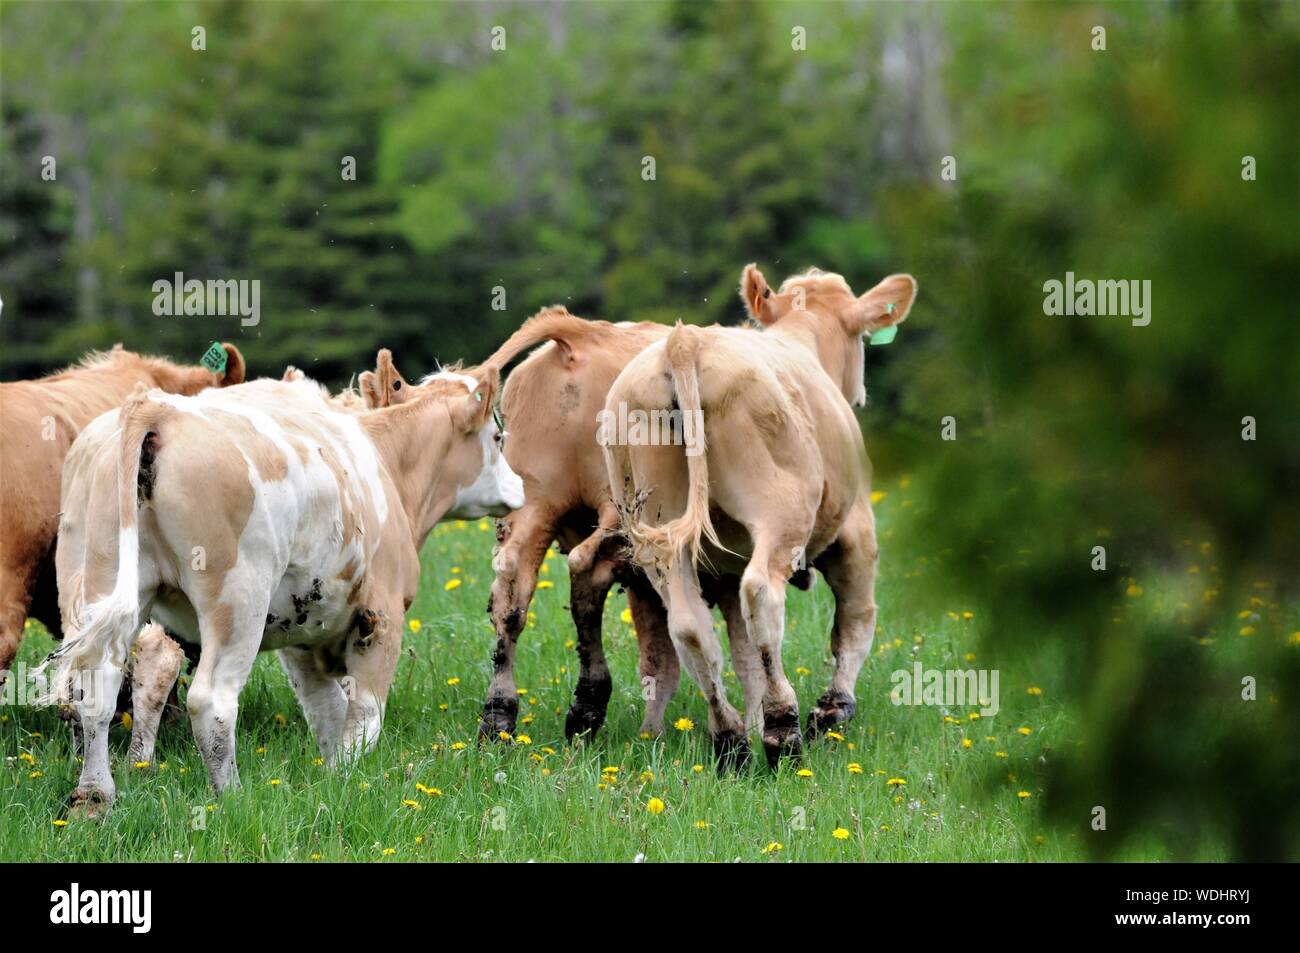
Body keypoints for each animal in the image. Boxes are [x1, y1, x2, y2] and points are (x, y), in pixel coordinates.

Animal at [41, 364, 523, 815]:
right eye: (498, 436)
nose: (519, 486)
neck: (385, 465)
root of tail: (160, 408)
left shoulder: (303, 635)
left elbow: (327, 711)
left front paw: (335, 779)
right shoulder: (380, 619)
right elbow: (363, 716)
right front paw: (350, 783)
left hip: (98, 584)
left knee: (96, 690)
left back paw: (94, 798)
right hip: (239, 599)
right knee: (212, 700)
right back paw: (231, 798)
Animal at [603, 266, 916, 768]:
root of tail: (685, 341)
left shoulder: (727, 565)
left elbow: (744, 650)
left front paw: (753, 718)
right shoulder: (856, 530)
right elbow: (856, 619)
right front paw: (833, 708)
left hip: (658, 534)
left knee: (689, 626)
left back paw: (732, 738)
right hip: (780, 513)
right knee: (763, 593)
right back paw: (782, 728)